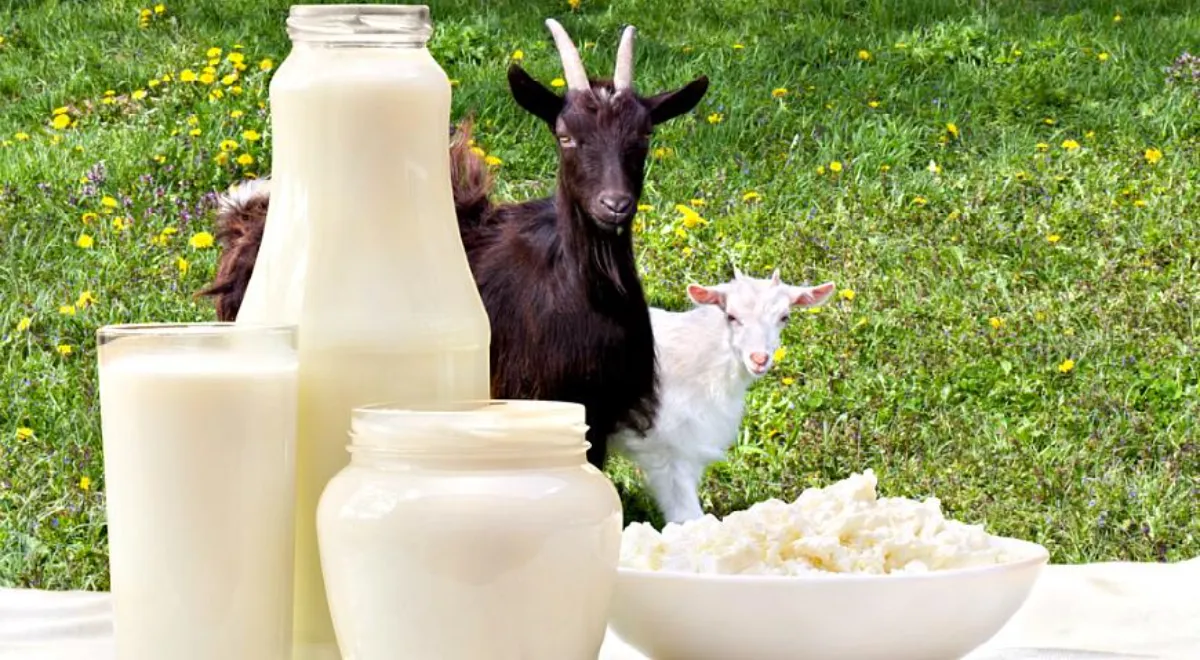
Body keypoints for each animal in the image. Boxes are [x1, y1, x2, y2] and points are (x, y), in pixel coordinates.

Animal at [200, 20, 709, 470]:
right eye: (565, 135)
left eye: (644, 135)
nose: (615, 205)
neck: (585, 290)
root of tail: (246, 215)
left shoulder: (597, 408)